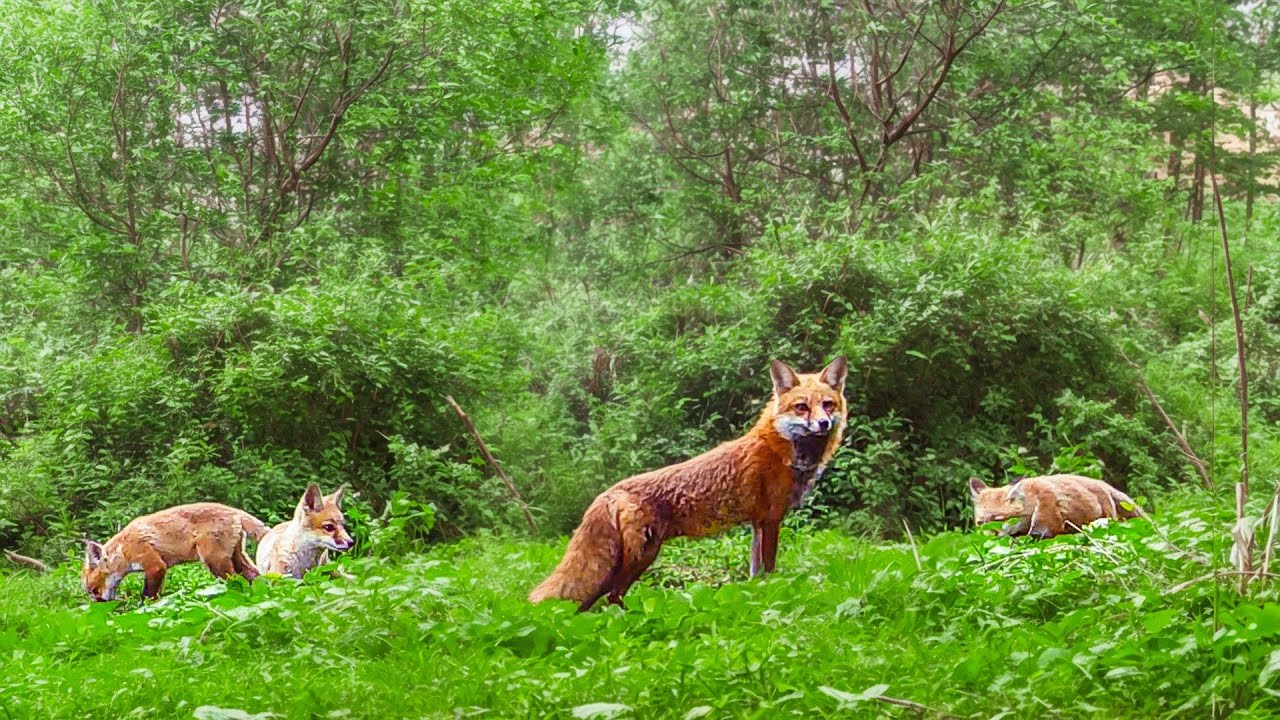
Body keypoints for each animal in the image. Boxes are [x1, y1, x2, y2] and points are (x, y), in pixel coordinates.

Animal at [82, 503, 268, 601]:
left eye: (94, 591)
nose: (100, 608)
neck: (124, 550)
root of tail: (233, 510)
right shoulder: (159, 571)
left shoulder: (155, 566)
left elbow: (147, 596)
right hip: (236, 559)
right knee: (255, 576)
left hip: (215, 562)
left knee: (235, 582)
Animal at [530, 356, 848, 611]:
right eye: (801, 407)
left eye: (828, 404)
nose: (824, 423)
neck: (782, 448)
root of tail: (606, 494)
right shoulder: (772, 519)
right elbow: (769, 569)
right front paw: (773, 595)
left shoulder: (757, 523)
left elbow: (754, 572)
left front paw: (756, 597)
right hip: (639, 558)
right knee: (611, 596)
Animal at [969, 473, 1148, 538]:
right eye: (980, 522)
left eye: (998, 519)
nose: (988, 539)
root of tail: (1105, 485)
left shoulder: (1045, 519)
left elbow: (1040, 533)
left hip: (1107, 521)